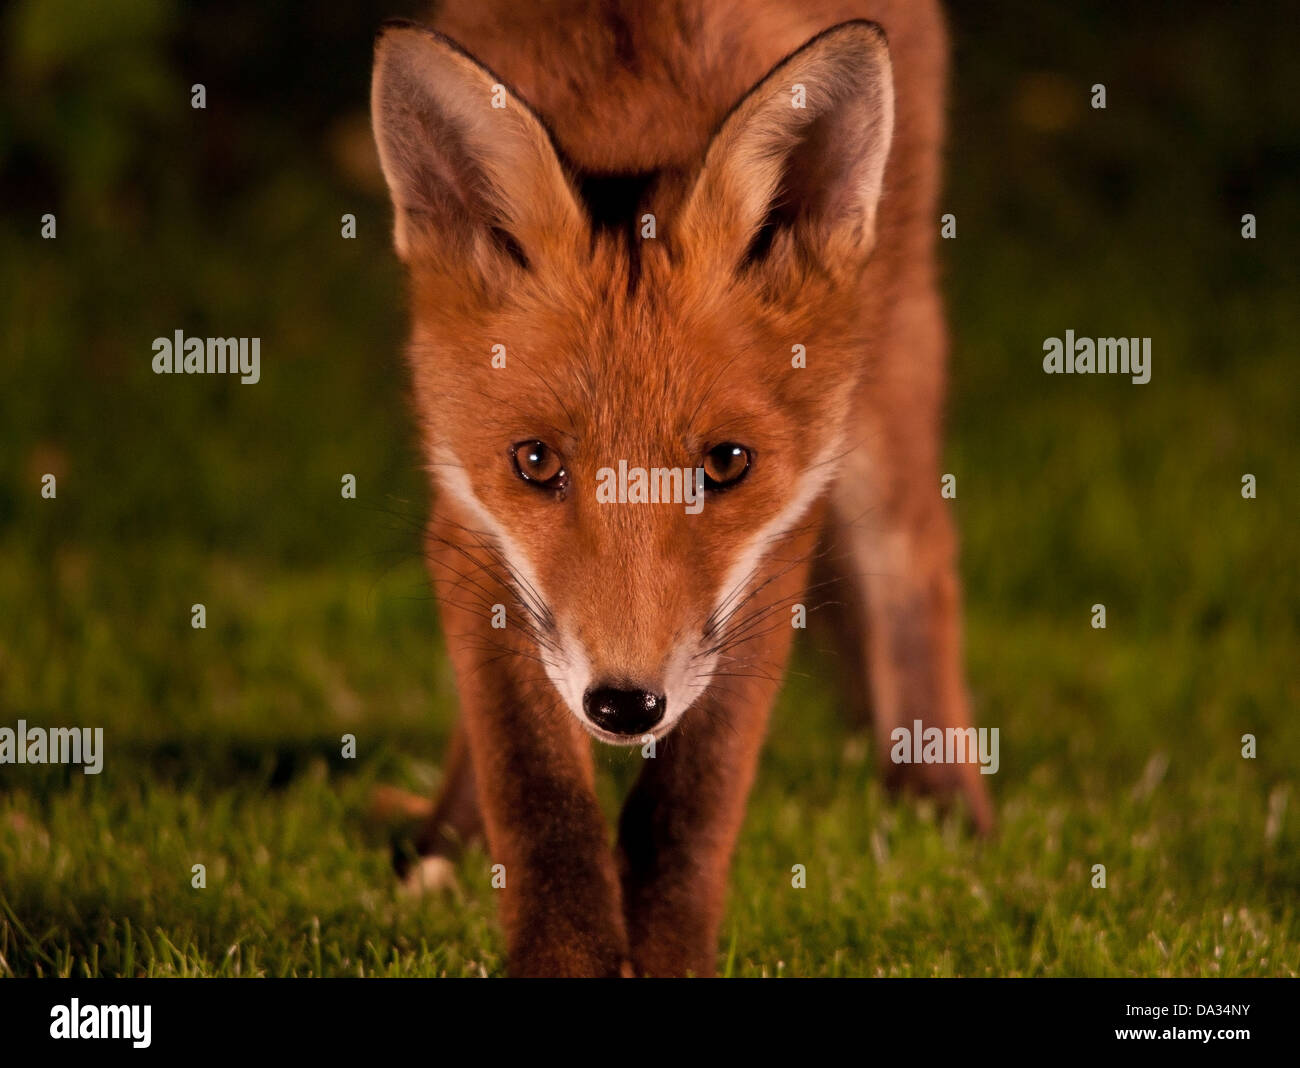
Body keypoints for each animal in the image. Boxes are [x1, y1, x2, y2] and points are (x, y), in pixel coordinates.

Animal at [369, 0, 992, 977]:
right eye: (535, 462)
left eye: (727, 463)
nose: (624, 706)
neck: (634, 113)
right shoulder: (468, 517)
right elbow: (533, 779)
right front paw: (560, 948)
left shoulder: (777, 540)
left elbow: (690, 806)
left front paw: (666, 953)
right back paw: (448, 840)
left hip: (891, 349)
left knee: (914, 559)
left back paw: (940, 800)